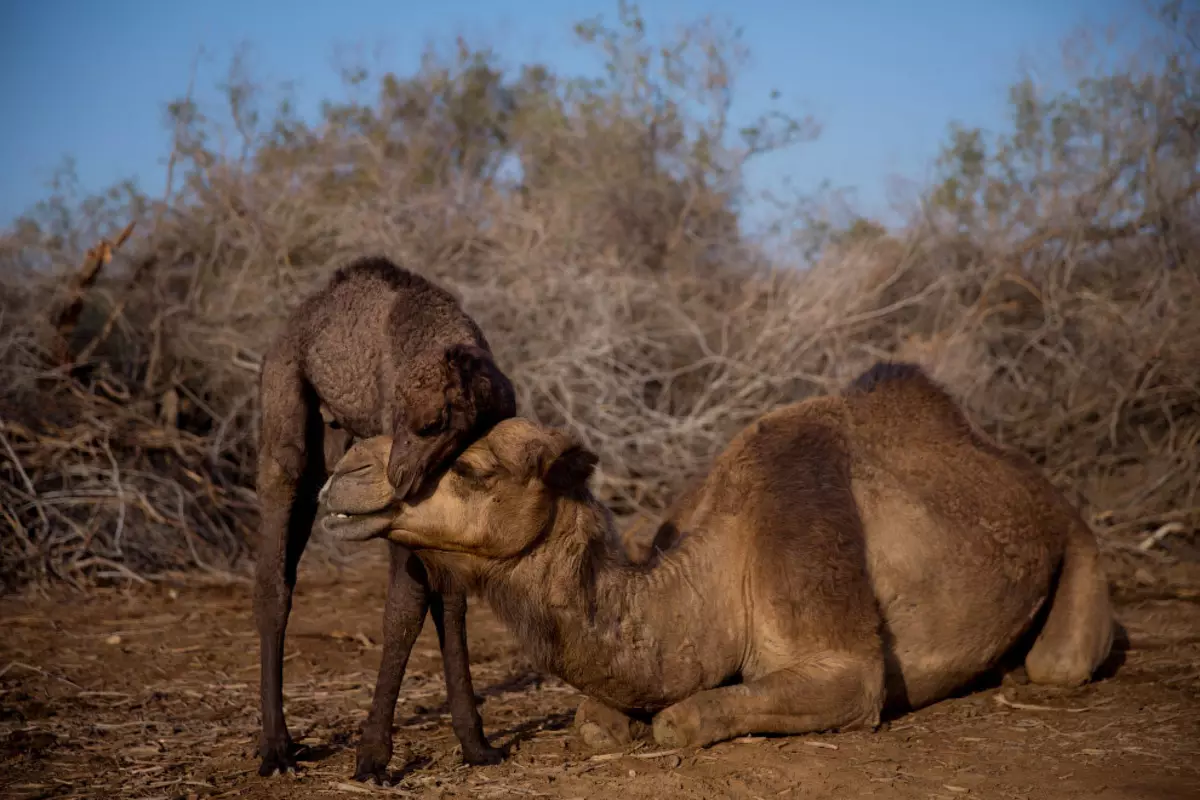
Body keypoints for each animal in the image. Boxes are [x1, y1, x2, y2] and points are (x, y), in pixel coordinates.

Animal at [253, 253, 516, 777]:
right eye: (402, 416)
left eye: (433, 423)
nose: (399, 475)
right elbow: (403, 611)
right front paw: (373, 757)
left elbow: (451, 602)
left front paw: (478, 746)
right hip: (284, 413)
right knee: (275, 569)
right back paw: (276, 748)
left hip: (332, 443)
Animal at [314, 362, 1108, 753]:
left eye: (472, 467)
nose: (341, 474)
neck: (724, 570)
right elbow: (597, 722)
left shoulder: (847, 665)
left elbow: (682, 718)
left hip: (1079, 544)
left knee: (1061, 661)